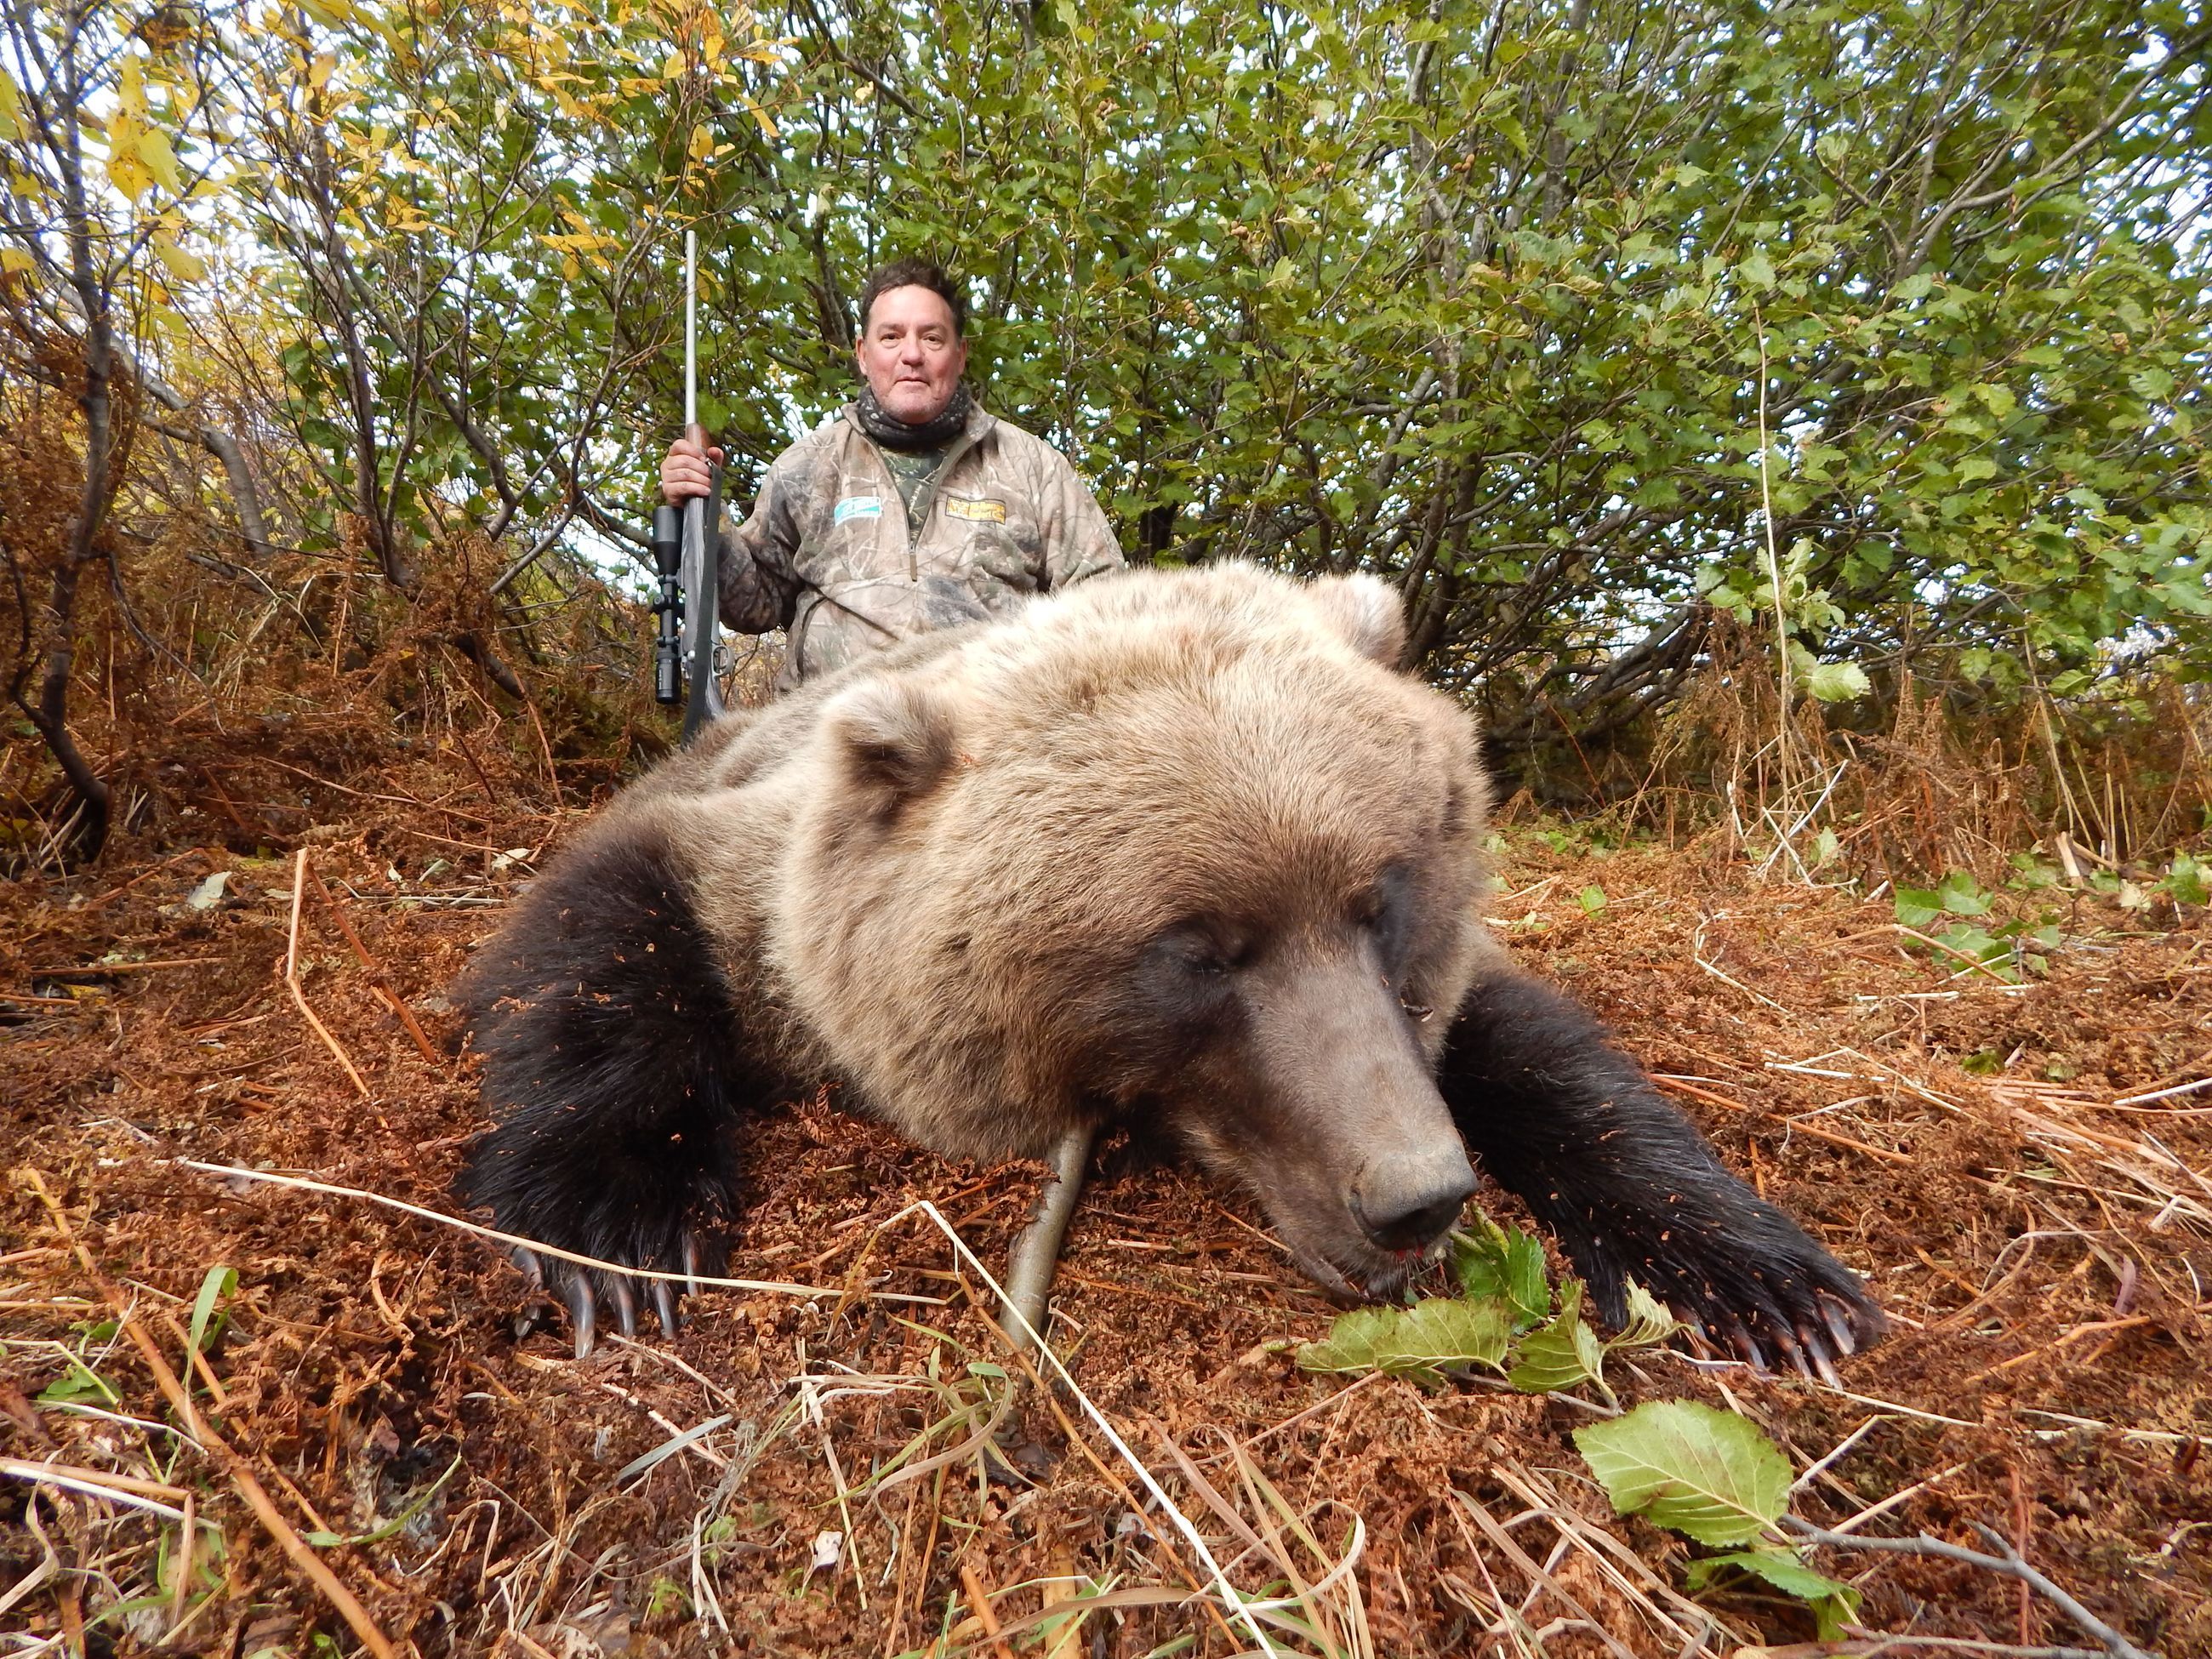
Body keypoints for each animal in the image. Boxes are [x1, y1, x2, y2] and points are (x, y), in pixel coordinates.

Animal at [457, 562, 1884, 1373]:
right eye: (1196, 951)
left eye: (1379, 900)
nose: (1416, 1196)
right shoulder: (757, 883)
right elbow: (597, 929)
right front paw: (615, 1230)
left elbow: (1540, 1050)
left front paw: (1770, 1282)